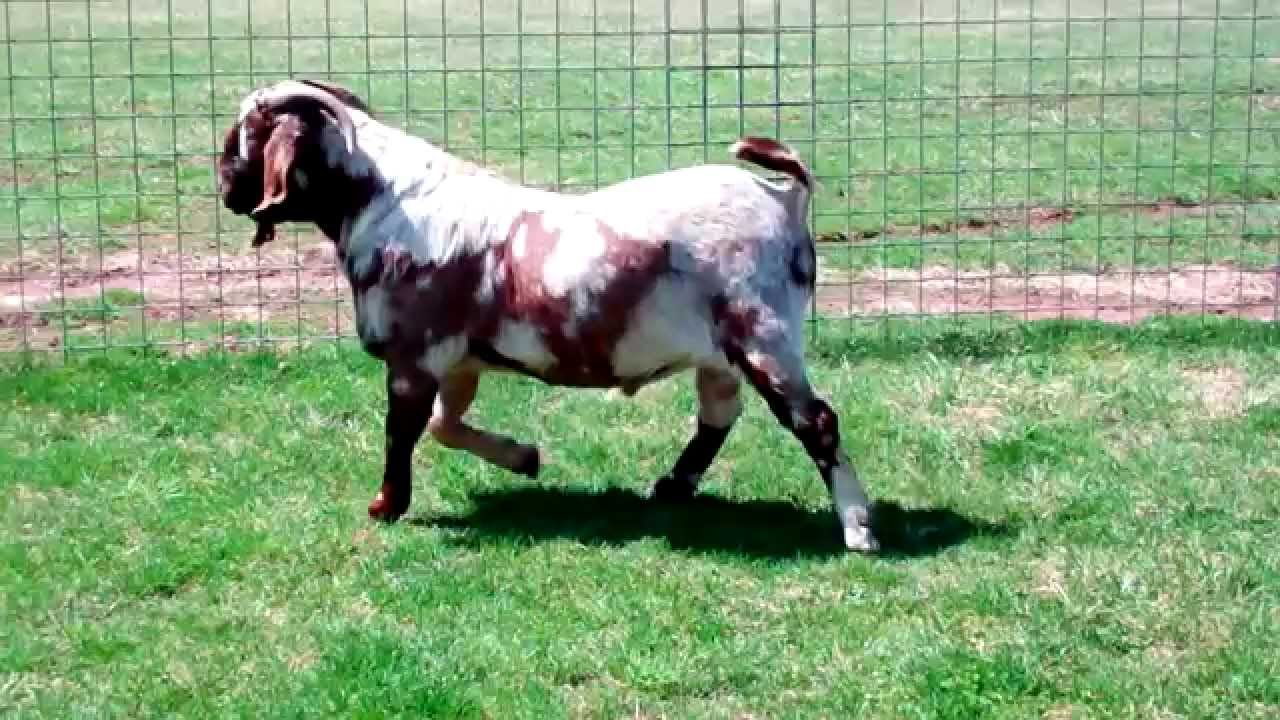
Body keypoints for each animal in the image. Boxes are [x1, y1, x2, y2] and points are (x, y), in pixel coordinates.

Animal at [217, 79, 879, 552]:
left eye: (241, 137)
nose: (224, 188)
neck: (384, 200)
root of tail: (785, 197)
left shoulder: (415, 353)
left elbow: (403, 429)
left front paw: (387, 506)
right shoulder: (460, 360)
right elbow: (445, 425)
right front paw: (524, 458)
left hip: (764, 333)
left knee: (816, 422)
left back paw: (858, 530)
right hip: (720, 350)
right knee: (720, 414)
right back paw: (671, 486)